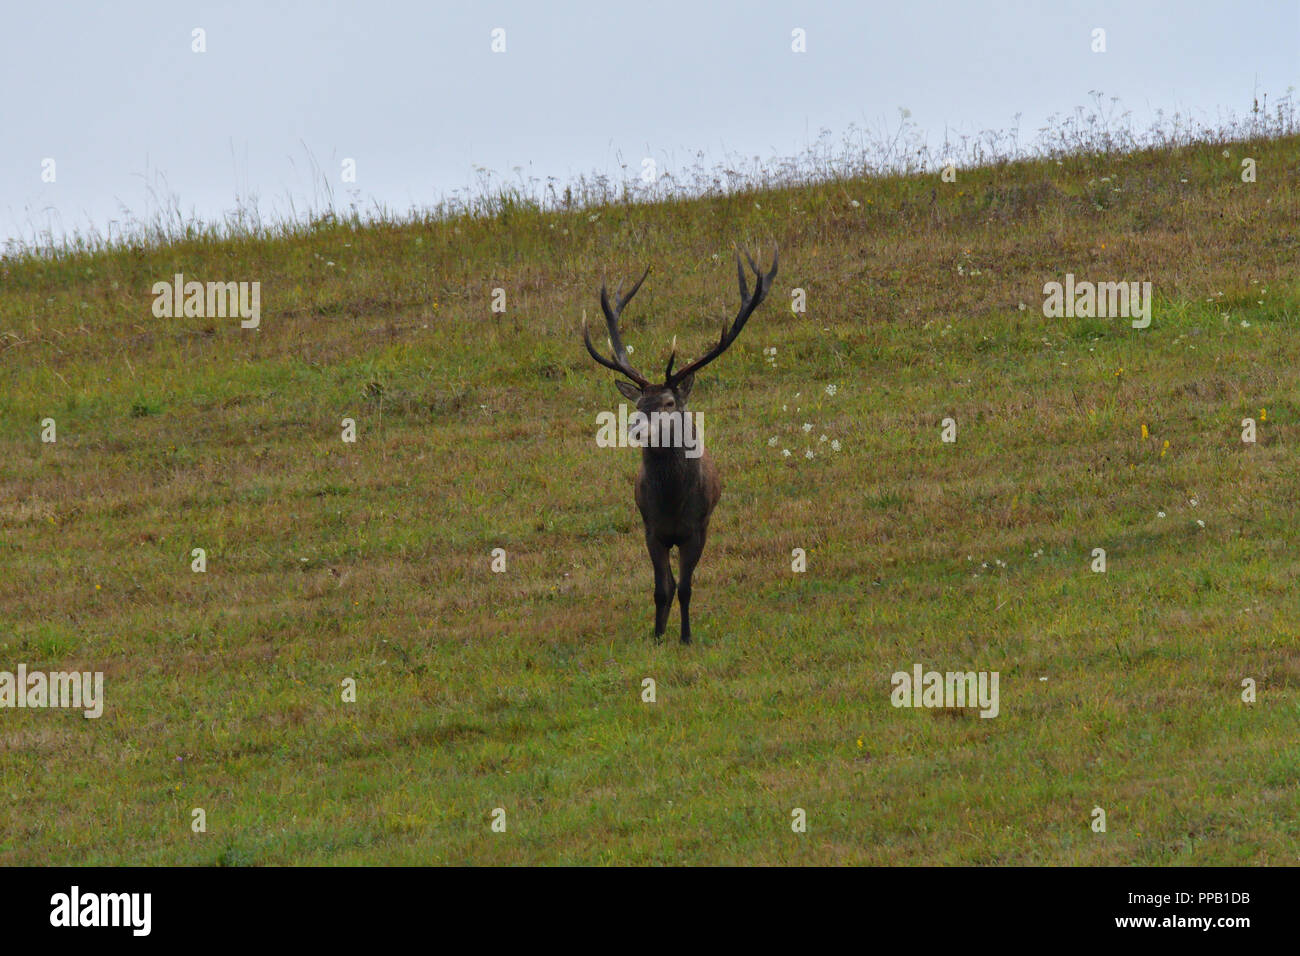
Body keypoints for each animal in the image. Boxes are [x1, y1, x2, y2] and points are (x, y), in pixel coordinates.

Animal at [582, 246, 778, 644]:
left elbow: (685, 587)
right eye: (639, 404)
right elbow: (663, 588)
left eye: (669, 402)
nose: (634, 428)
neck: (672, 503)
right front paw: (657, 637)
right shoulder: (651, 529)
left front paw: (686, 638)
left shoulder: (697, 529)